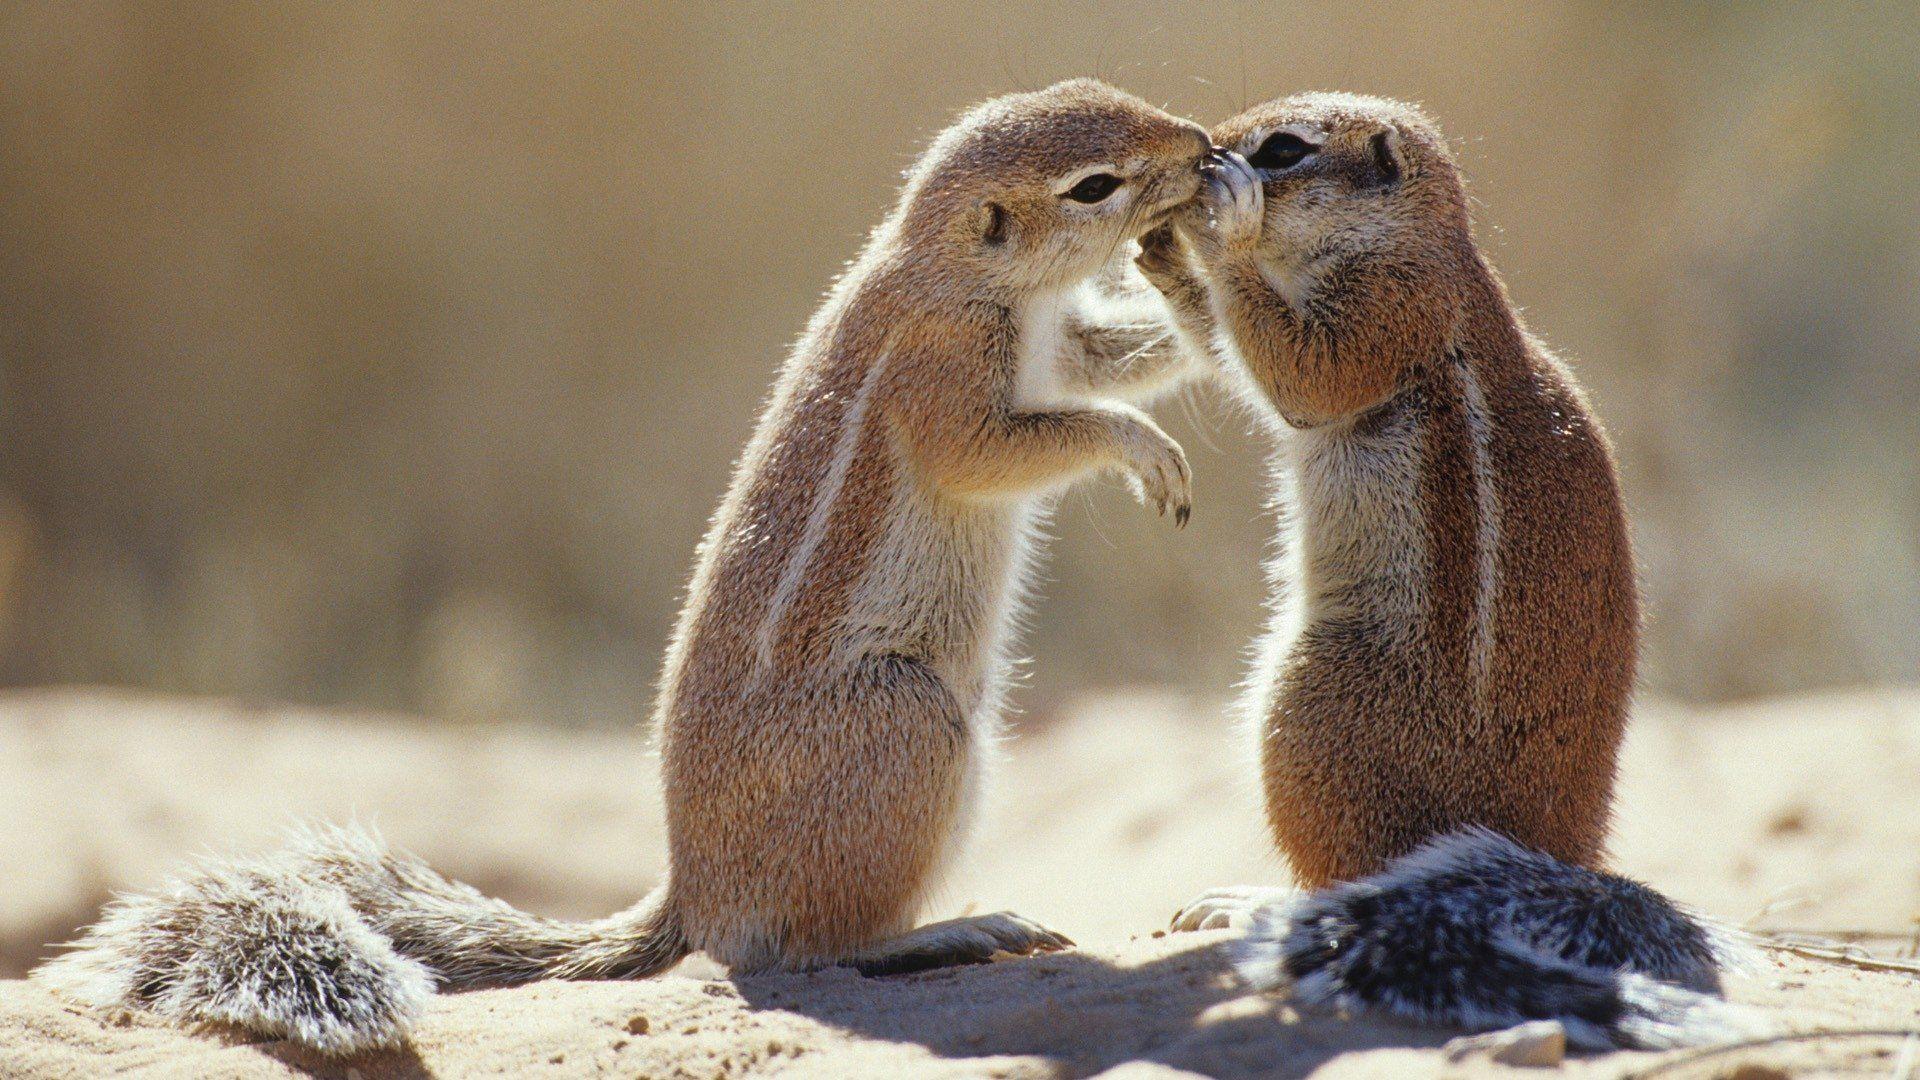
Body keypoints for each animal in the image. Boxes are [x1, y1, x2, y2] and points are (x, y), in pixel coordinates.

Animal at [35, 79, 1216, 1055]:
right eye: (1095, 184)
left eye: (1120, 93)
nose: (1205, 147)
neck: (952, 264)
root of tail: (689, 891)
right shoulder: (947, 374)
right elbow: (1005, 447)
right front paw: (1144, 449)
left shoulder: (1067, 342)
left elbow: (1120, 357)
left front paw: (1202, 309)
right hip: (910, 725)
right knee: (789, 950)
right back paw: (946, 932)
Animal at [1134, 93, 1751, 1049]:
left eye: (1284, 150)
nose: (1201, 158)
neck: (1416, 242)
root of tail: (1553, 857)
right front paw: (1159, 253)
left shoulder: (1388, 313)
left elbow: (1301, 371)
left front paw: (1222, 221)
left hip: (1309, 705)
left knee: (1347, 873)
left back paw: (1251, 903)